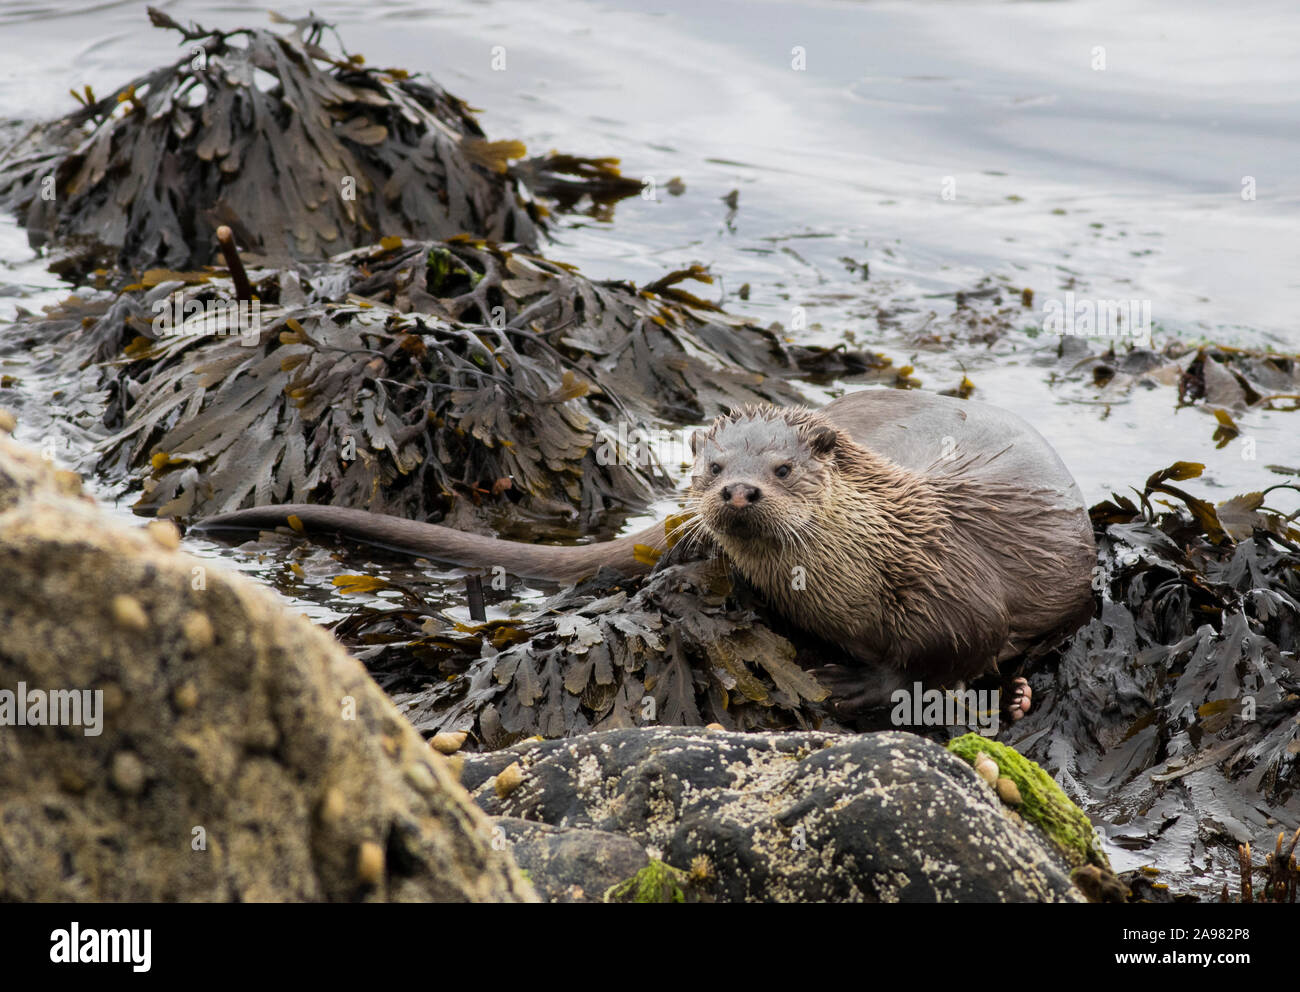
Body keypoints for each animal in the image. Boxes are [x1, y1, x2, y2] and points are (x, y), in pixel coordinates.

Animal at [195, 389, 1096, 719]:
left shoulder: (955, 588)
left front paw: (858, 683)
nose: (739, 493)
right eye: (712, 467)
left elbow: (945, 658)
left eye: (782, 469)